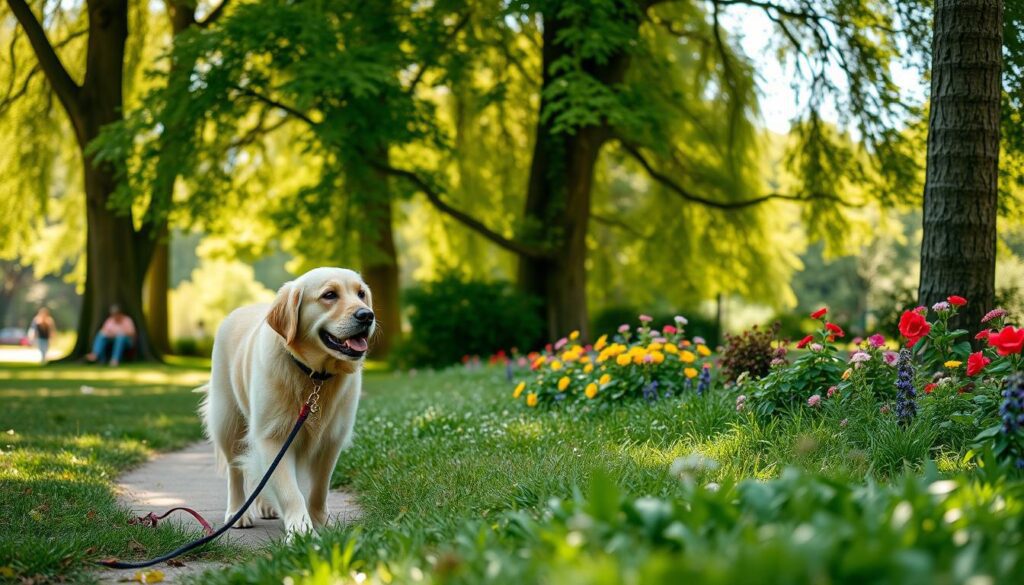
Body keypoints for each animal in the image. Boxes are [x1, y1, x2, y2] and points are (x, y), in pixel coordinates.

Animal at [200, 266, 376, 536]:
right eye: (329, 295)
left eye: (361, 294)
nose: (367, 315)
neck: (315, 377)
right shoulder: (273, 437)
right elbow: (290, 491)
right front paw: (301, 530)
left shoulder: (331, 440)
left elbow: (319, 489)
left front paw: (320, 522)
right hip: (228, 422)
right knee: (235, 469)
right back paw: (238, 512)